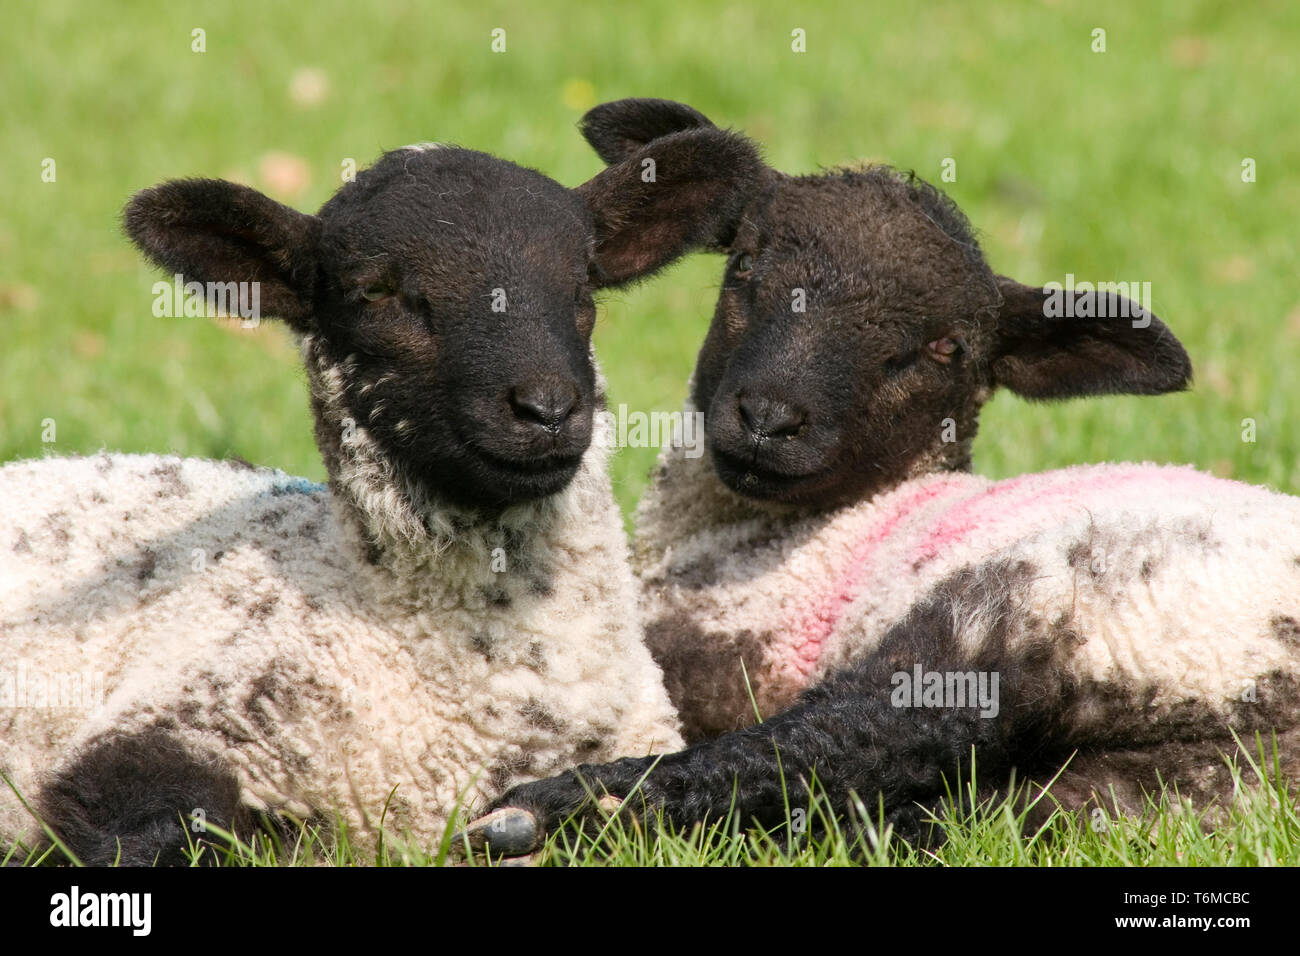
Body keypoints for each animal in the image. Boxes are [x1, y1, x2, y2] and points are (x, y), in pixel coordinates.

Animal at [466, 98, 1300, 853]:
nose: (769, 417)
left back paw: (543, 815)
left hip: (1034, 621)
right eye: (745, 268)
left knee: (825, 750)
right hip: (1160, 787)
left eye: (944, 348)